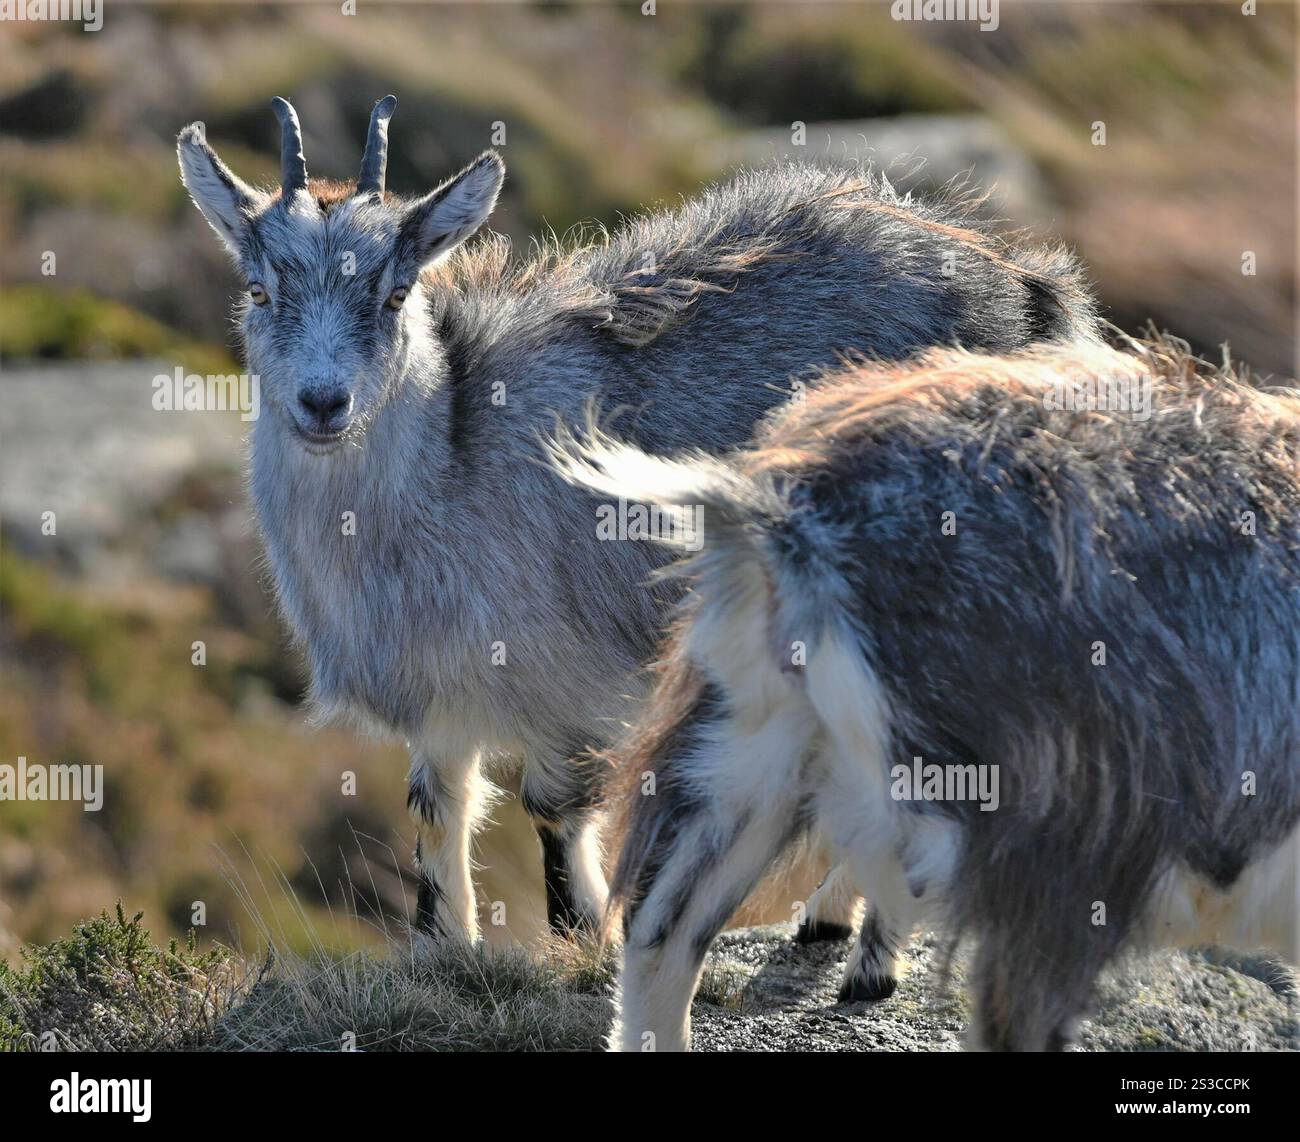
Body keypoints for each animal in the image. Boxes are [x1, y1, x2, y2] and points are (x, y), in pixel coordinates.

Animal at [177, 94, 1099, 943]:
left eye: (396, 292)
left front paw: (587, 933)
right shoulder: (438, 686)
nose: (322, 403)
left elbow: (554, 806)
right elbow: (440, 803)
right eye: (259, 289)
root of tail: (1030, 293)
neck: (454, 454)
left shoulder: (568, 674)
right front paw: (446, 946)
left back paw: (837, 922)